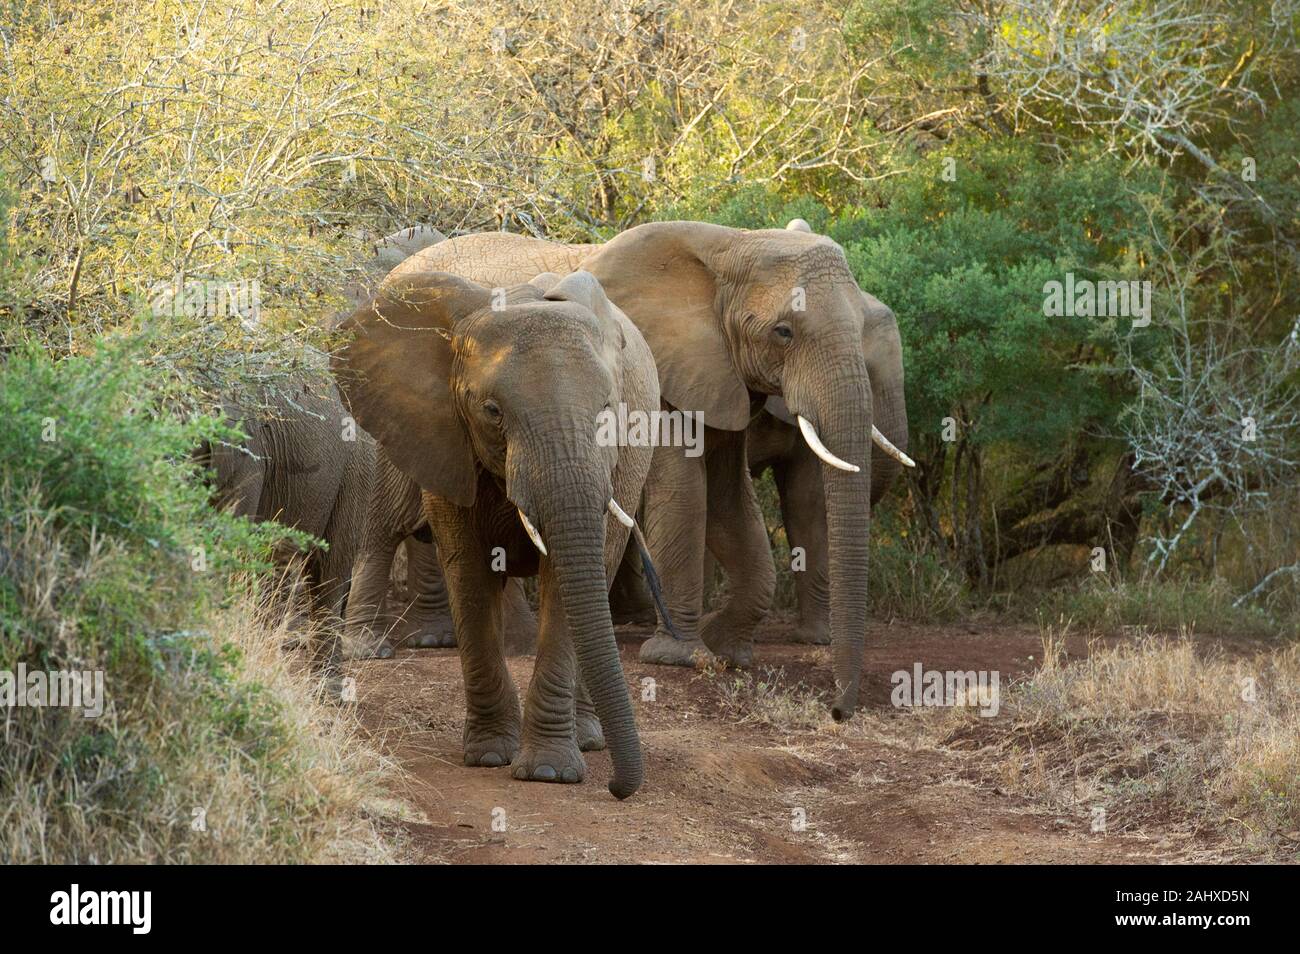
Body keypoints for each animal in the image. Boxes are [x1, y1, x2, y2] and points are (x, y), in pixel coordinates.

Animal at [333, 268, 660, 798]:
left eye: (608, 408)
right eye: (492, 411)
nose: (618, 789)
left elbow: (564, 583)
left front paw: (549, 773)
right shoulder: (442, 431)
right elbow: (468, 573)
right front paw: (489, 756)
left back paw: (589, 738)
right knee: (384, 523)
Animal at [392, 219, 912, 720]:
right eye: (783, 331)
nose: (839, 711)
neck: (730, 245)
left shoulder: (717, 376)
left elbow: (730, 503)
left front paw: (724, 646)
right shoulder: (663, 379)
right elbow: (685, 494)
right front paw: (680, 656)